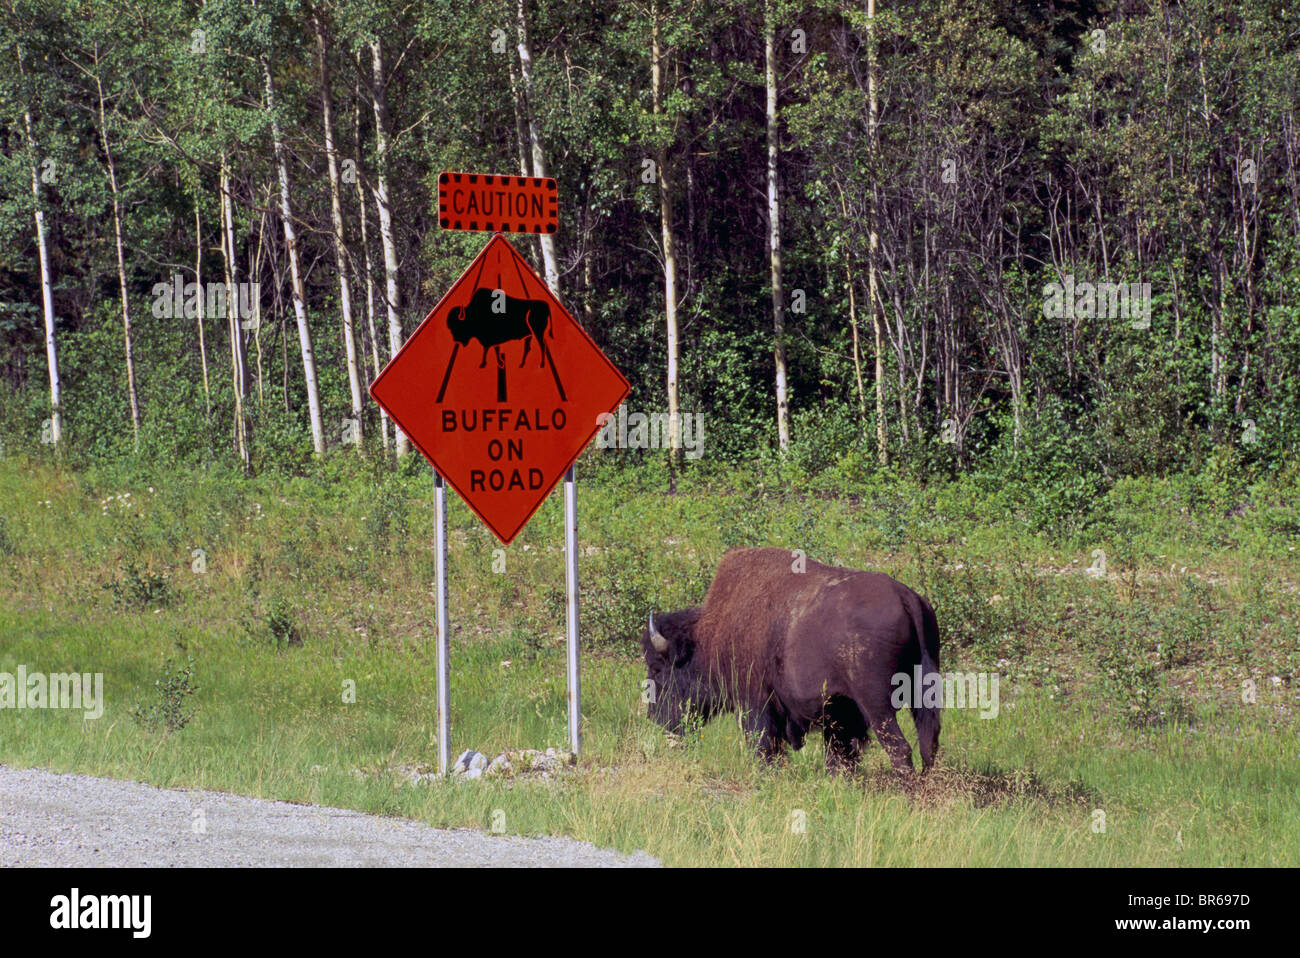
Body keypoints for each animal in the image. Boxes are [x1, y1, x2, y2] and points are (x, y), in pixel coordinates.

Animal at [642, 547, 941, 776]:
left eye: (657, 669)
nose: (654, 717)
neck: (711, 635)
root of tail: (907, 598)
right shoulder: (839, 709)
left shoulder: (756, 702)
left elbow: (762, 743)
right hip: (921, 693)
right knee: (929, 744)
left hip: (878, 706)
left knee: (900, 747)